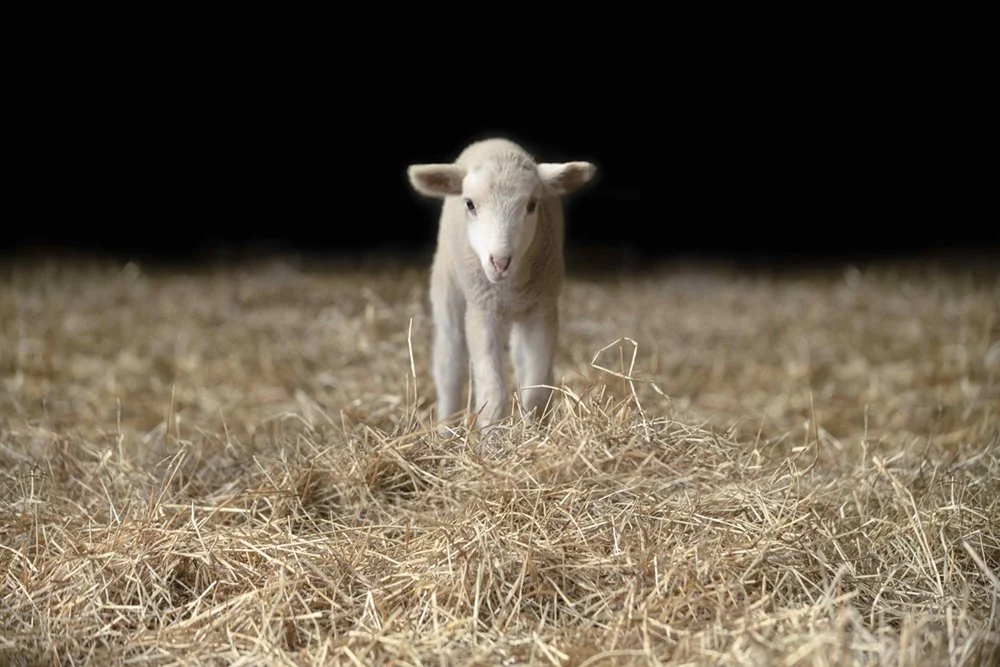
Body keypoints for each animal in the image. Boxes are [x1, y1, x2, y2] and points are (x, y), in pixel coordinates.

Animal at [407, 137, 597, 433]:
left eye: (532, 205)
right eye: (470, 204)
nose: (500, 262)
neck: (509, 287)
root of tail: (493, 141)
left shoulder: (543, 311)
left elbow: (537, 390)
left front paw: (535, 433)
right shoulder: (482, 311)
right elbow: (493, 394)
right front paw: (493, 437)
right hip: (447, 284)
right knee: (449, 361)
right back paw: (446, 429)